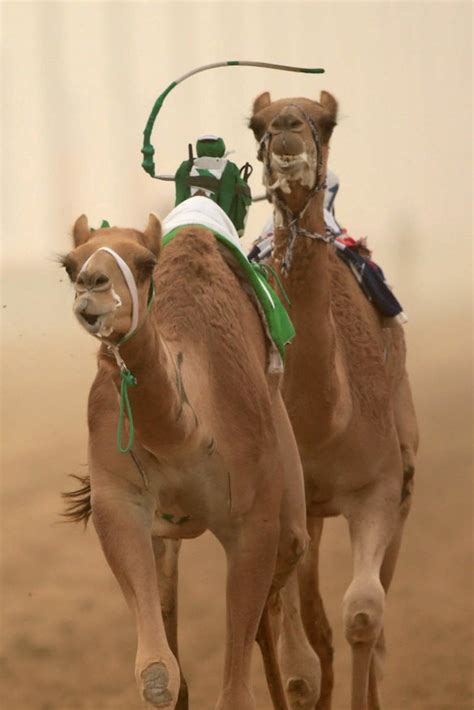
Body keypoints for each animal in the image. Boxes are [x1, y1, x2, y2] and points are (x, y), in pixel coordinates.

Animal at [60, 207, 313, 710]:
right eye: (69, 265)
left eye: (145, 262)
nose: (92, 284)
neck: (186, 436)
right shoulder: (117, 499)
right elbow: (159, 674)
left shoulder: (253, 519)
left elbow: (235, 692)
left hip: (283, 454)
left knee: (292, 563)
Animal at [248, 90, 419, 710]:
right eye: (256, 123)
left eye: (326, 121)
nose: (285, 128)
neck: (322, 420)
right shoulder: (282, 509)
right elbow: (300, 665)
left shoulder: (379, 487)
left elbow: (363, 617)